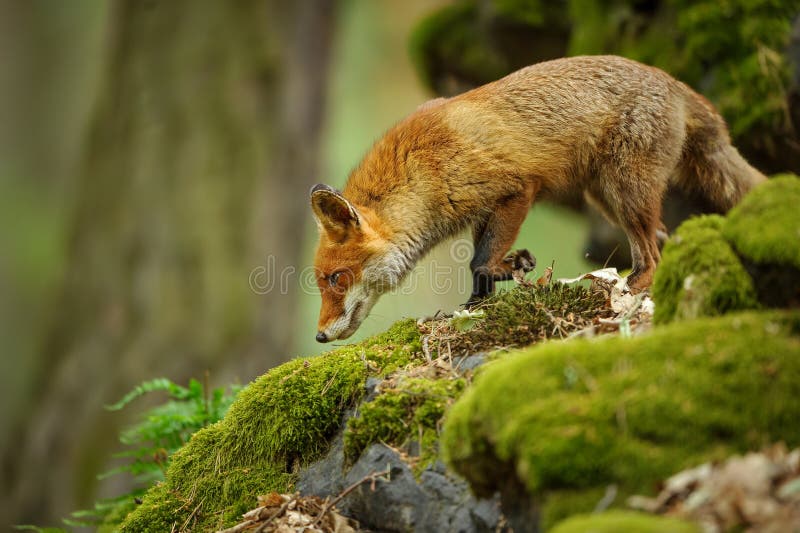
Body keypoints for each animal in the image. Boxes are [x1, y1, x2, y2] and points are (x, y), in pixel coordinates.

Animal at [310, 55, 766, 343]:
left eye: (336, 279)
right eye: (321, 282)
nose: (318, 335)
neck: (422, 169)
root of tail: (673, 83)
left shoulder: (517, 188)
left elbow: (479, 261)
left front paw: (513, 268)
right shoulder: (480, 208)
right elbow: (479, 267)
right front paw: (476, 305)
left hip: (626, 192)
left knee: (651, 258)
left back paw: (626, 291)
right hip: (606, 197)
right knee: (662, 239)